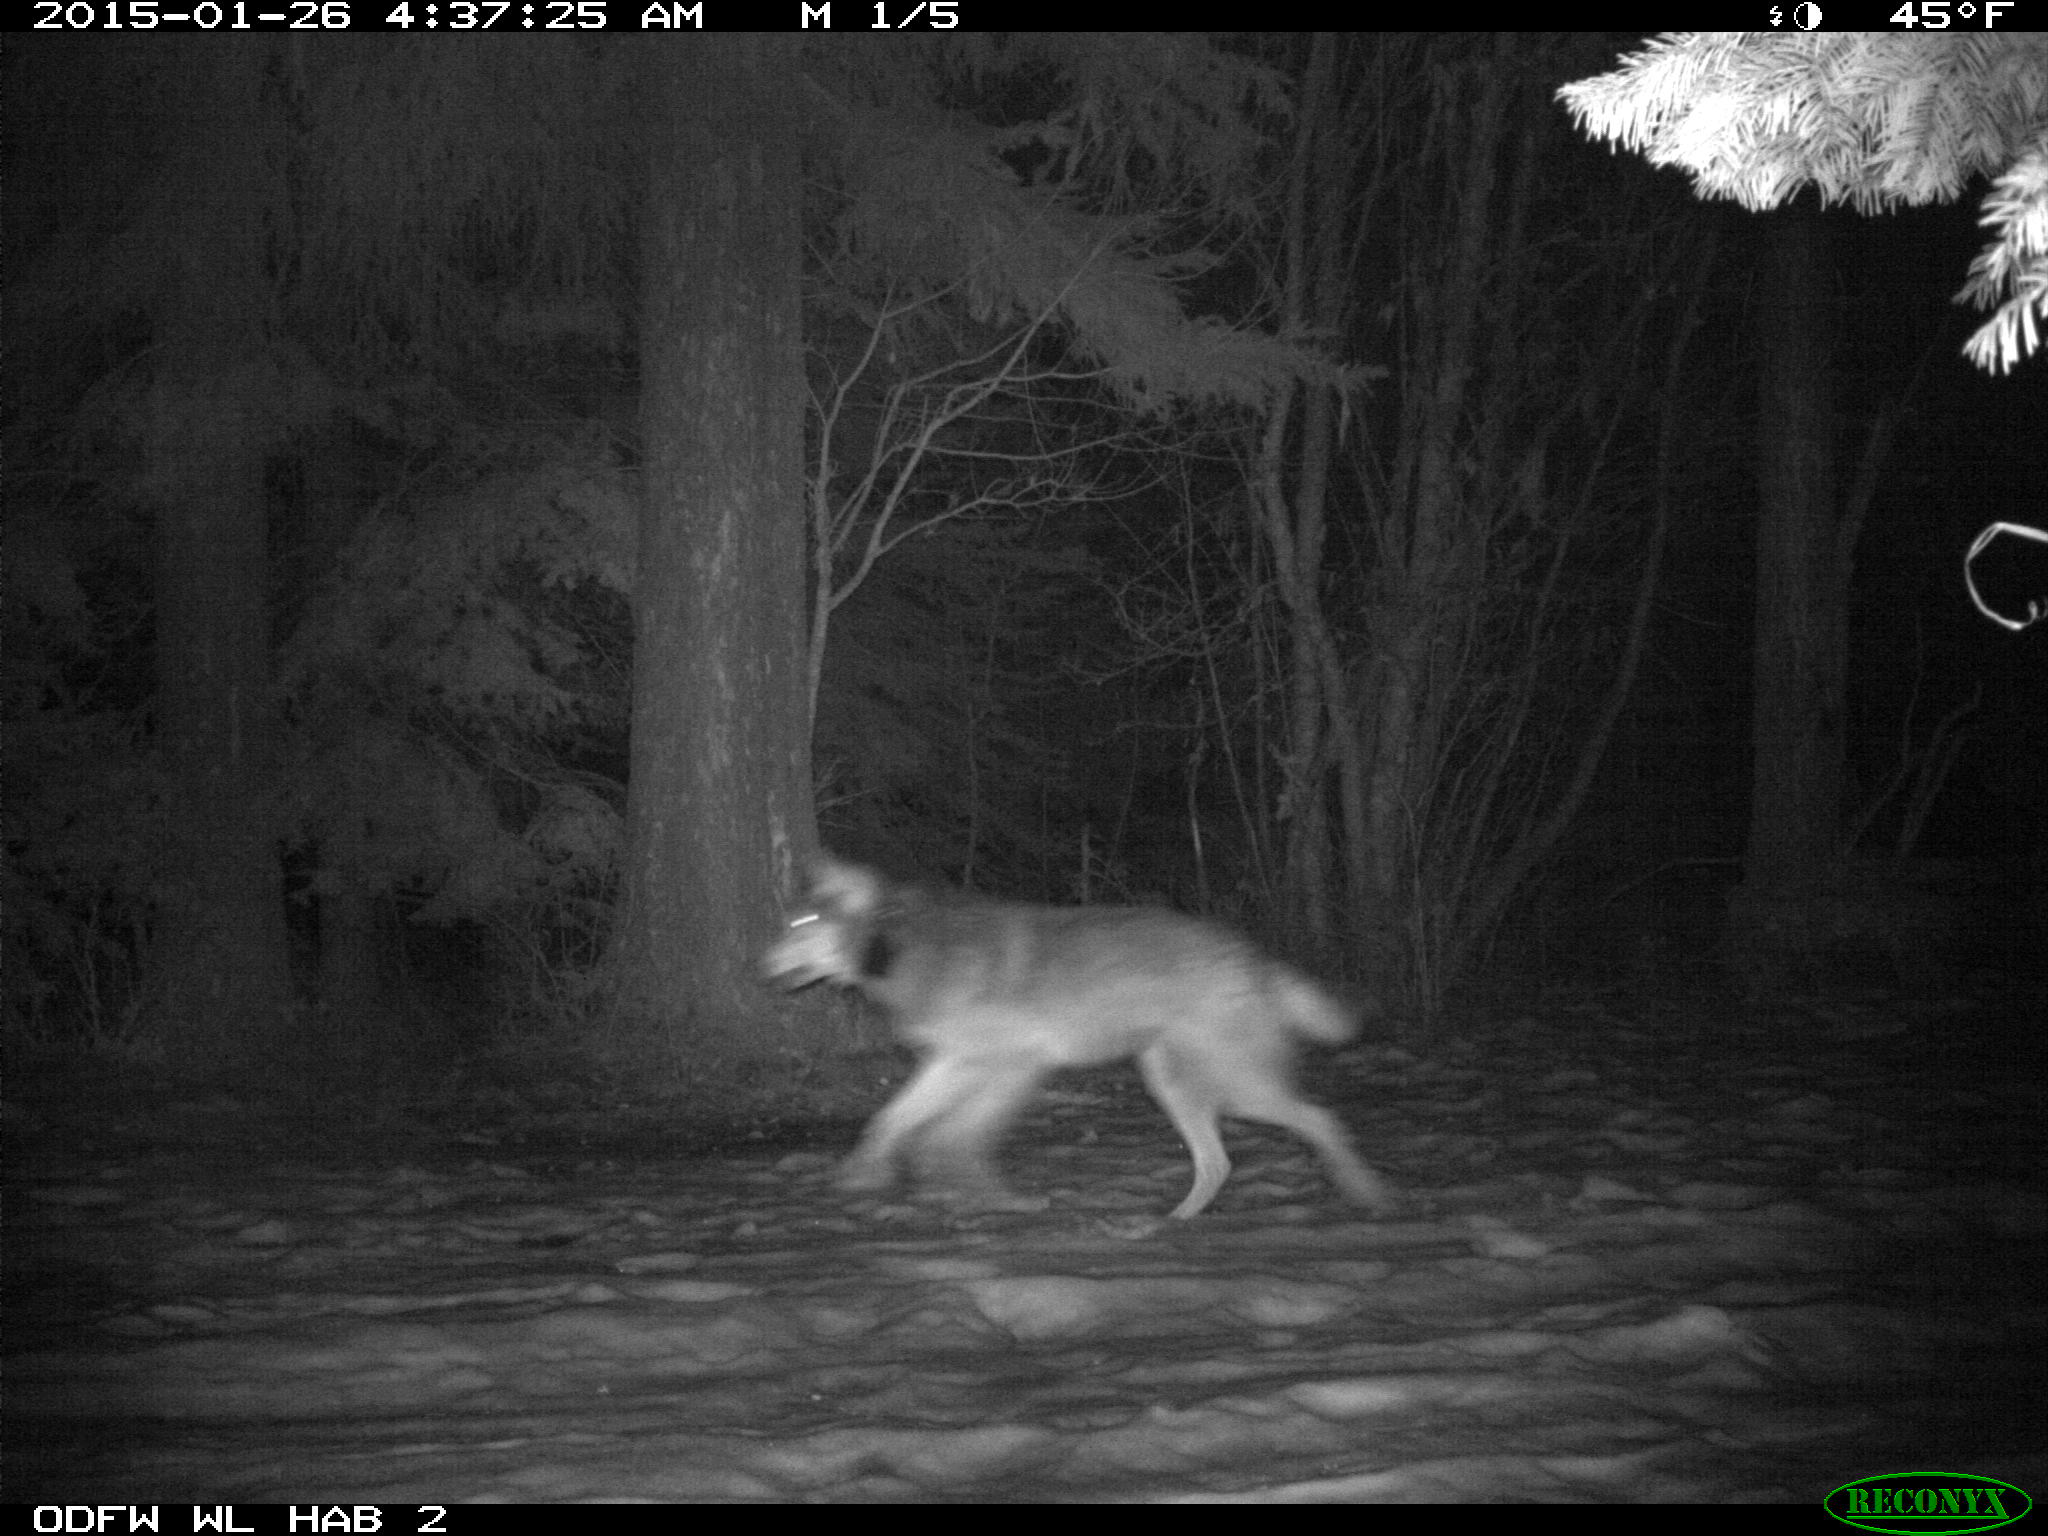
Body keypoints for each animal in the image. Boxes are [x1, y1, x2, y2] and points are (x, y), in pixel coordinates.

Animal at [763, 855, 1397, 1221]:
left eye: (800, 925)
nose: (760, 965)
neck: (897, 949)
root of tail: (1251, 954)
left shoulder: (1013, 1065)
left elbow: (960, 1138)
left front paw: (1000, 1200)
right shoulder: (953, 1062)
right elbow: (896, 1122)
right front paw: (863, 1177)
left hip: (1233, 1087)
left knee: (1321, 1120)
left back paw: (1369, 1195)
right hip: (1171, 1083)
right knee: (1218, 1162)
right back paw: (1170, 1223)